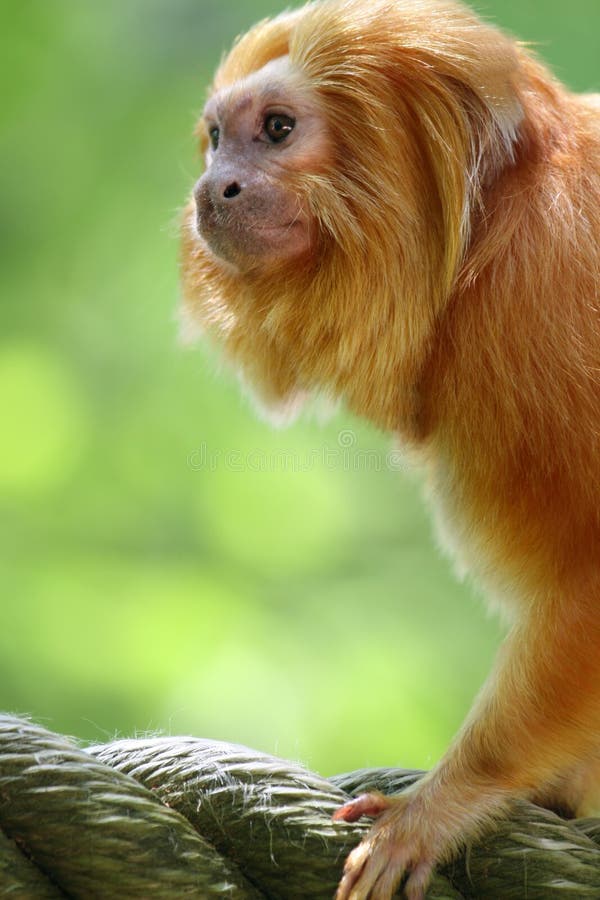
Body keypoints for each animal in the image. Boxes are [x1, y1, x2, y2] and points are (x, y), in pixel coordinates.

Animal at [179, 0, 600, 897]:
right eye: (218, 139)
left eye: (277, 130)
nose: (212, 188)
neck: (482, 243)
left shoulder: (549, 301)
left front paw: (446, 803)